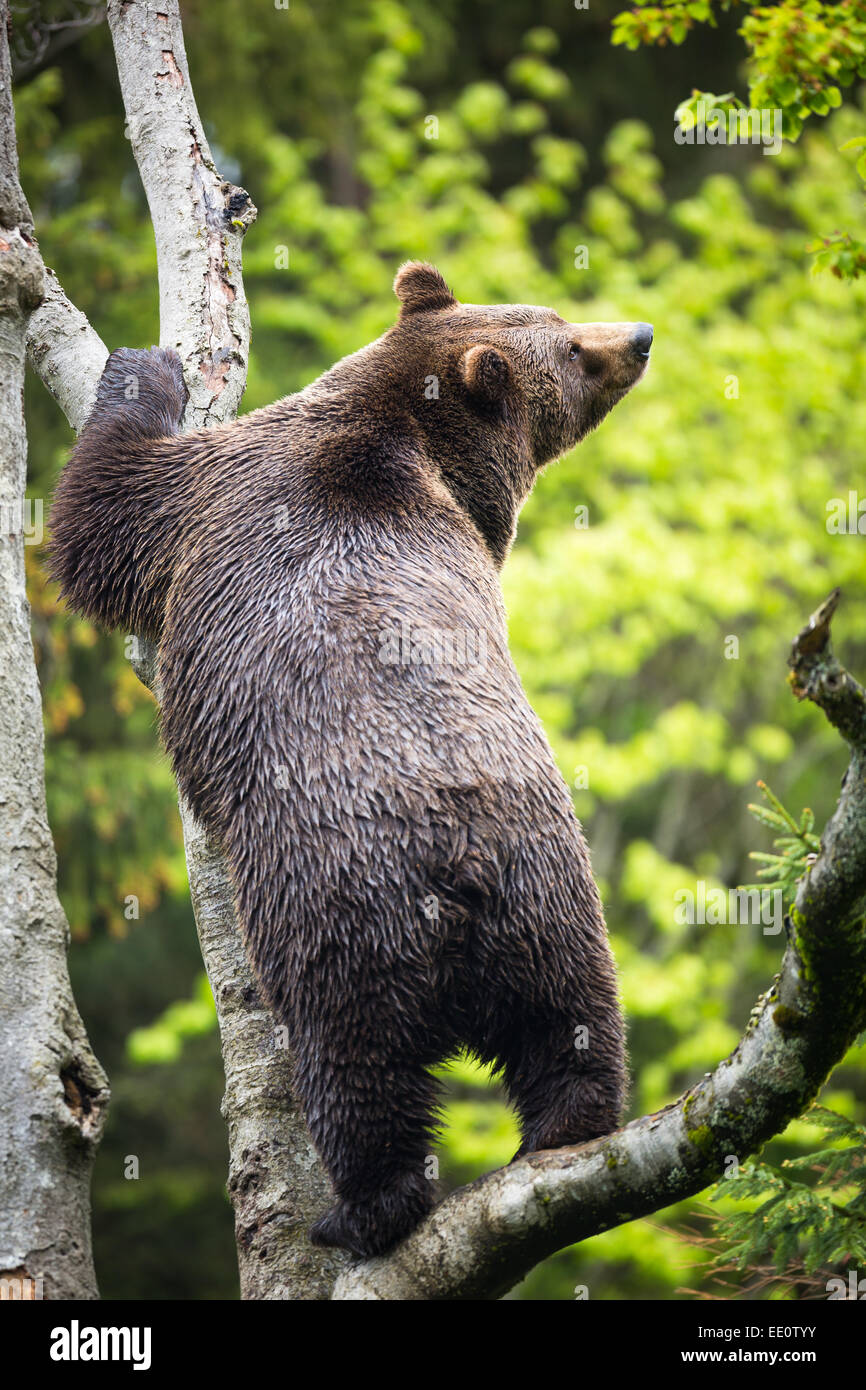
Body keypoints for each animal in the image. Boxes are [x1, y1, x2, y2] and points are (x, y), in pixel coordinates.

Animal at [47, 263, 652, 1258]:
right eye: (567, 332)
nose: (637, 335)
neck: (401, 428)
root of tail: (461, 868)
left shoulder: (215, 487)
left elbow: (101, 517)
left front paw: (146, 365)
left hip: (333, 912)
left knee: (357, 1074)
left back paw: (357, 1211)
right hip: (551, 889)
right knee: (569, 1019)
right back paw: (570, 1123)